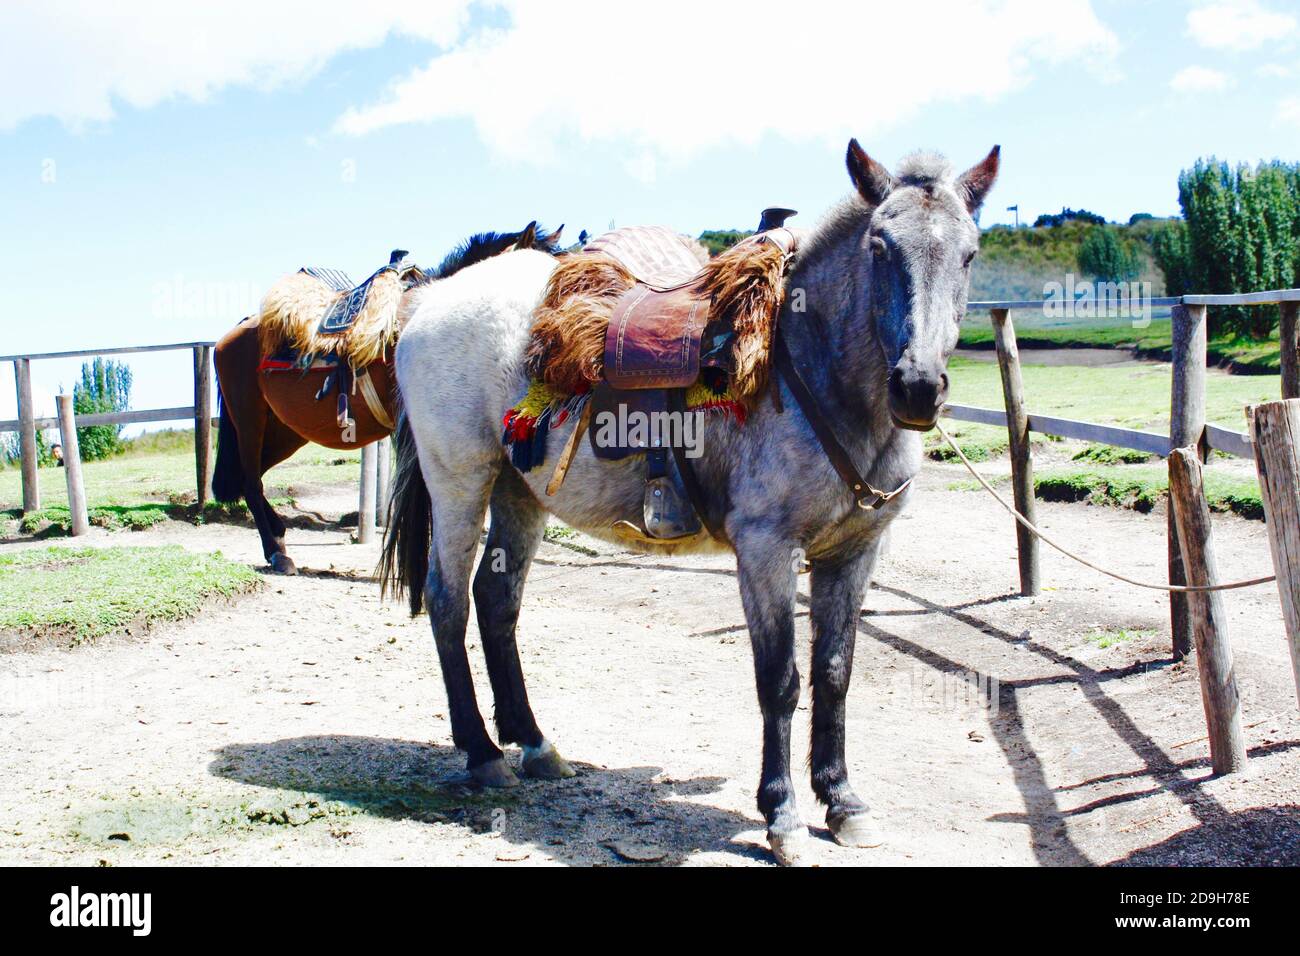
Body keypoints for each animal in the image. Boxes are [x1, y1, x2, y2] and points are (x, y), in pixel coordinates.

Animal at [210, 224, 563, 574]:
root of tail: (231, 335)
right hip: (249, 419)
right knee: (251, 482)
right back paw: (277, 552)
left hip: (286, 432)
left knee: (250, 477)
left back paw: (279, 535)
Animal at [379, 141, 999, 865]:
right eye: (880, 246)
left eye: (969, 252)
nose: (918, 387)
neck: (808, 369)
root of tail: (430, 300)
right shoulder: (766, 552)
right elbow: (780, 680)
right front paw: (782, 814)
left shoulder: (856, 552)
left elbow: (835, 672)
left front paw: (843, 800)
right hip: (460, 480)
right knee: (447, 601)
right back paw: (481, 752)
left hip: (518, 492)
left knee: (496, 601)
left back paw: (533, 744)